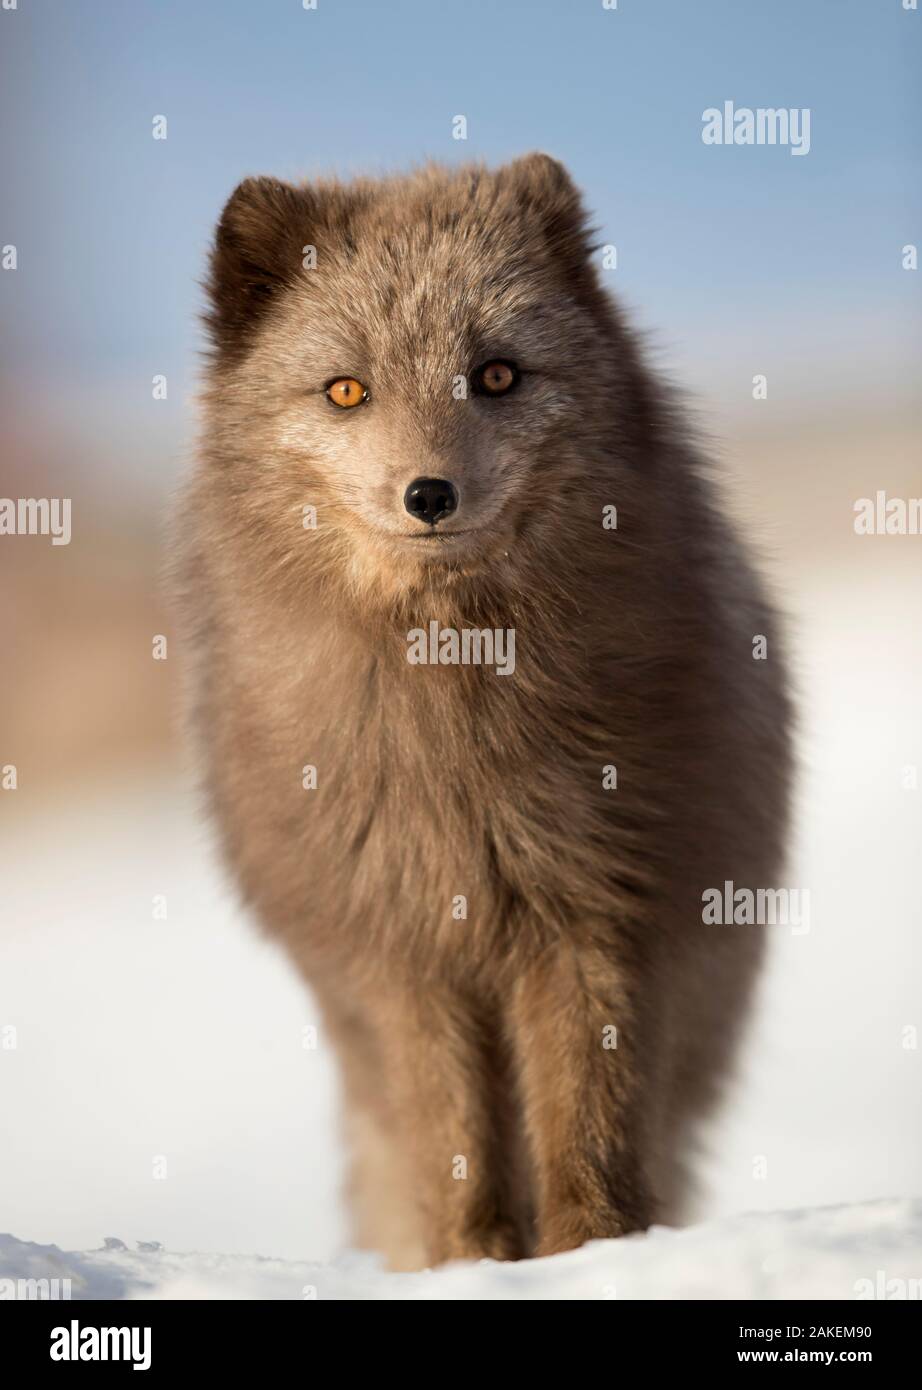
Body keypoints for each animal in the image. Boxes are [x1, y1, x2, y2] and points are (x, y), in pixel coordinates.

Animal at [175, 154, 792, 1270]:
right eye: (346, 390)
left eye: (497, 375)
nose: (430, 495)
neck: (456, 737)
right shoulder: (403, 952)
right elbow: (452, 1144)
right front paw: (472, 1267)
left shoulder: (594, 916)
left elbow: (587, 1129)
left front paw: (593, 1258)